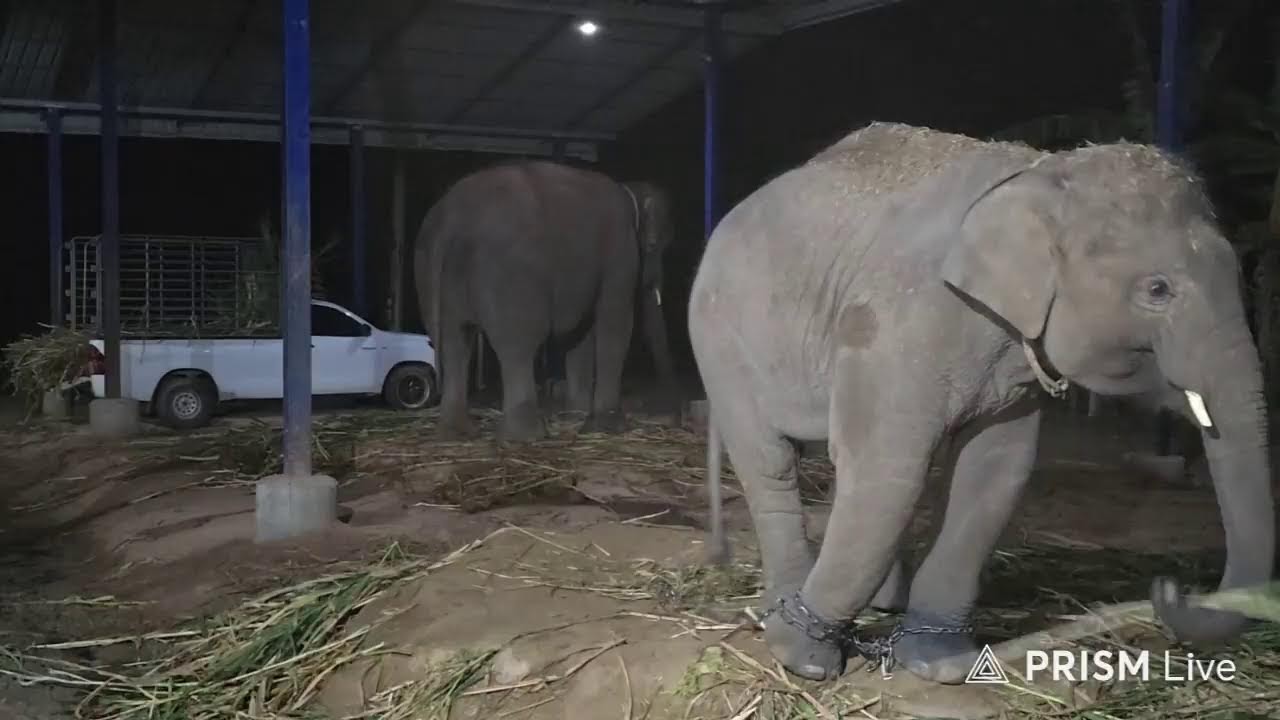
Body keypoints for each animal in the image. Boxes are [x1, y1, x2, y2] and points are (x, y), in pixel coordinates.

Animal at [413, 160, 678, 443]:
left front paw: (576, 414)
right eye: (654, 245)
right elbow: (615, 321)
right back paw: (526, 436)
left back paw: (456, 433)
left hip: (428, 271)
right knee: (518, 344)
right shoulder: (620, 254)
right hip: (511, 277)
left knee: (454, 342)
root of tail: (451, 222)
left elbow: (580, 333)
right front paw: (607, 427)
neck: (630, 191)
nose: (673, 417)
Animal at [689, 122, 1275, 684]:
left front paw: (941, 664)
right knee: (772, 464)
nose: (1170, 587)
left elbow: (993, 473)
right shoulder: (900, 320)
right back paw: (785, 615)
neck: (1043, 173)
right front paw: (806, 659)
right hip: (721, 340)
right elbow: (889, 470)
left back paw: (879, 604)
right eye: (1157, 290)